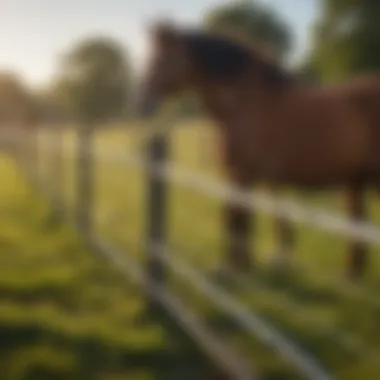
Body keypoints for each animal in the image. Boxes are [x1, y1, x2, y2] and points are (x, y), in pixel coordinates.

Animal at [137, 20, 380, 280]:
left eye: (162, 58)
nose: (141, 98)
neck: (245, 103)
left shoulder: (242, 173)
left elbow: (237, 217)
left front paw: (234, 267)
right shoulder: (240, 174)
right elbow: (239, 216)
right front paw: (245, 264)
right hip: (356, 179)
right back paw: (350, 274)